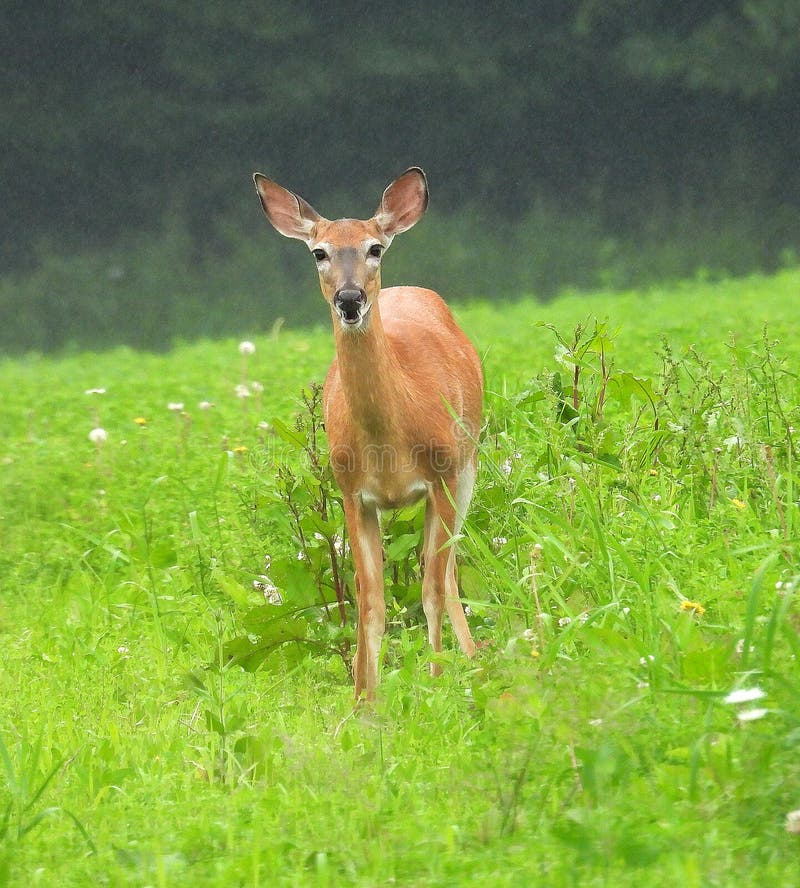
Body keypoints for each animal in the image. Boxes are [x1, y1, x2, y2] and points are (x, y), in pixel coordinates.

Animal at [253, 167, 483, 701]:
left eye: (375, 247)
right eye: (319, 252)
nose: (350, 299)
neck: (388, 440)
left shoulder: (441, 474)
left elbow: (430, 588)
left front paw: (436, 682)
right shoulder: (352, 493)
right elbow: (368, 601)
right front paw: (364, 701)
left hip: (467, 468)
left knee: (448, 572)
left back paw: (468, 662)